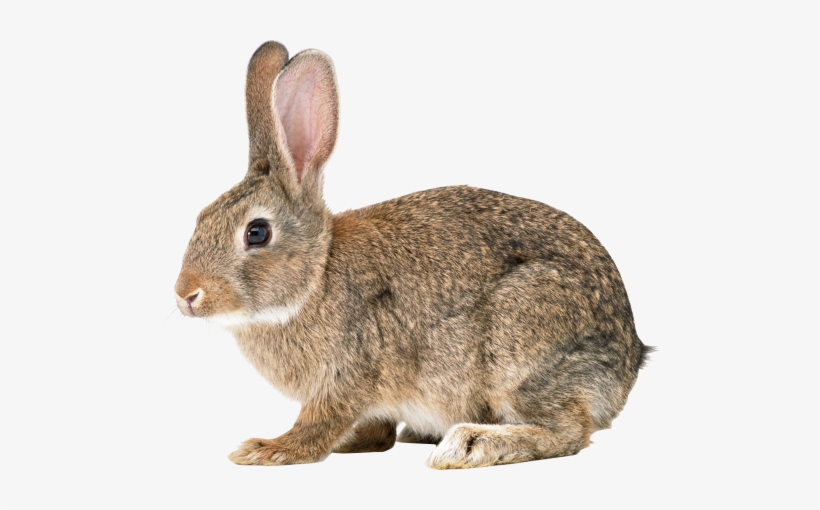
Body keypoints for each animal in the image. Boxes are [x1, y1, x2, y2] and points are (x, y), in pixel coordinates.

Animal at [174, 41, 651, 469]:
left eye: (256, 233)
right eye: (201, 217)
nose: (185, 295)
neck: (316, 277)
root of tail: (629, 360)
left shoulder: (348, 374)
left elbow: (319, 424)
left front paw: (267, 449)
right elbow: (373, 431)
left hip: (520, 342)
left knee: (568, 431)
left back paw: (469, 444)